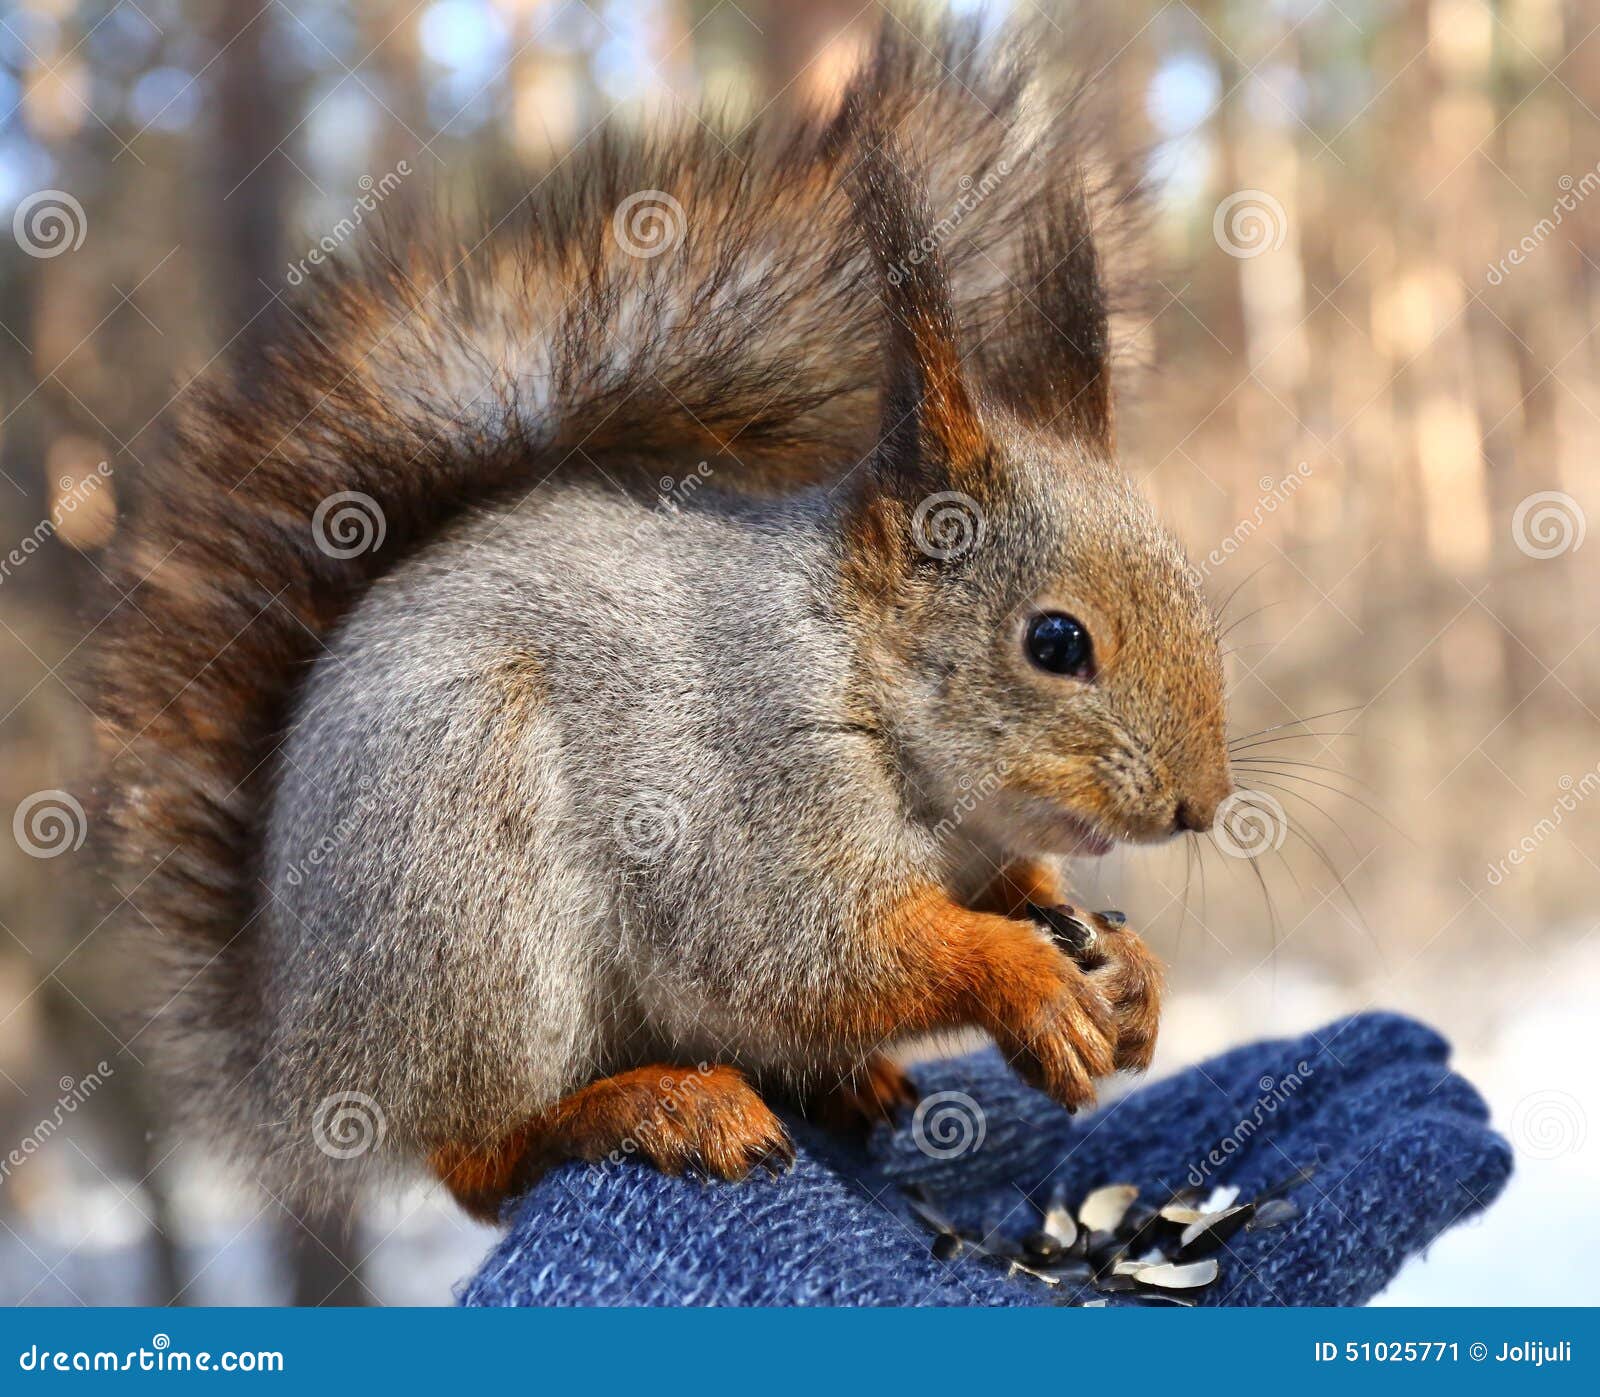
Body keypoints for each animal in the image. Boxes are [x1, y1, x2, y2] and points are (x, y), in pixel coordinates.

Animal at [98, 12, 1231, 1222]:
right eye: (1056, 642)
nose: (1201, 805)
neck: (856, 668)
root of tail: (295, 1051)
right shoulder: (747, 796)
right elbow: (808, 953)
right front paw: (1022, 978)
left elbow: (1002, 896)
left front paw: (1128, 970)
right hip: (467, 897)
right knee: (474, 1156)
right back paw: (650, 1106)